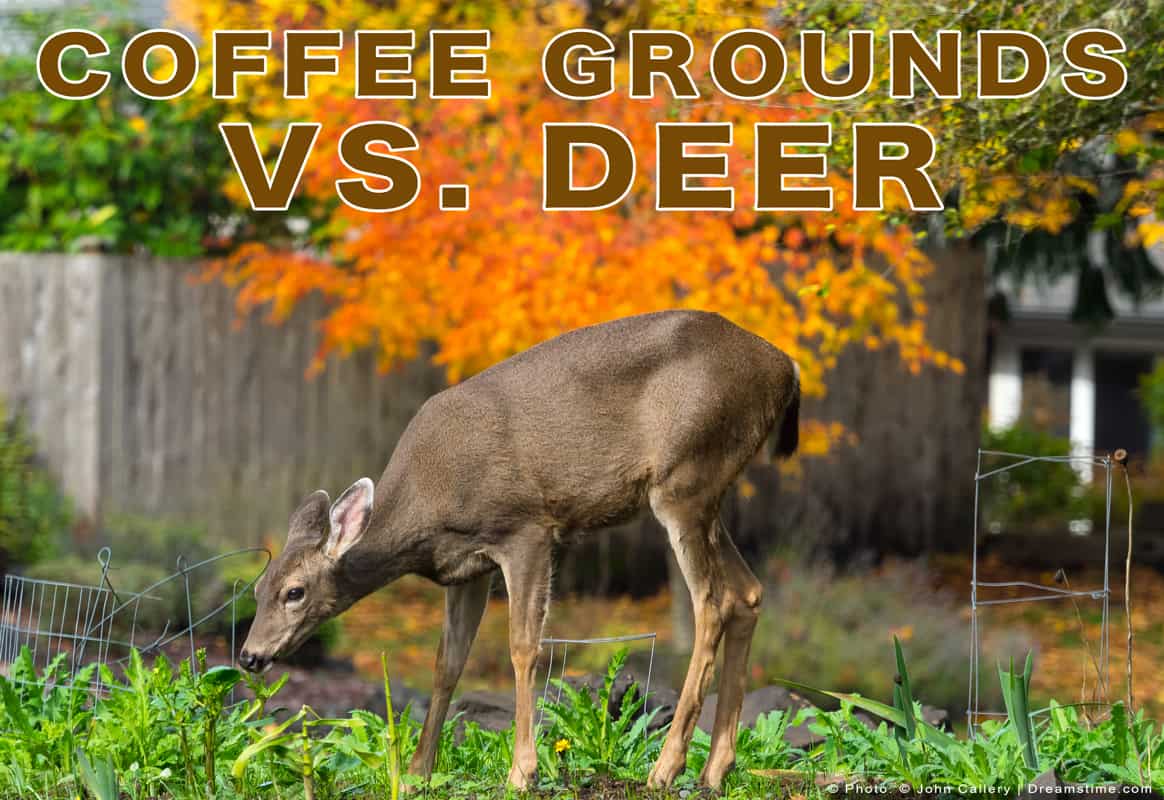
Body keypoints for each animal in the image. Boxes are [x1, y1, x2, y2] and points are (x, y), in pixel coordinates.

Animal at [238, 309, 800, 791]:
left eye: (294, 591)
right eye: (257, 588)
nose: (248, 655)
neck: (426, 506)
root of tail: (785, 367)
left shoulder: (526, 529)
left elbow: (524, 647)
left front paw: (522, 771)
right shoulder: (466, 568)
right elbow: (447, 662)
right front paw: (418, 771)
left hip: (685, 477)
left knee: (712, 602)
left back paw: (666, 768)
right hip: (708, 492)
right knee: (748, 593)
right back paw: (715, 769)